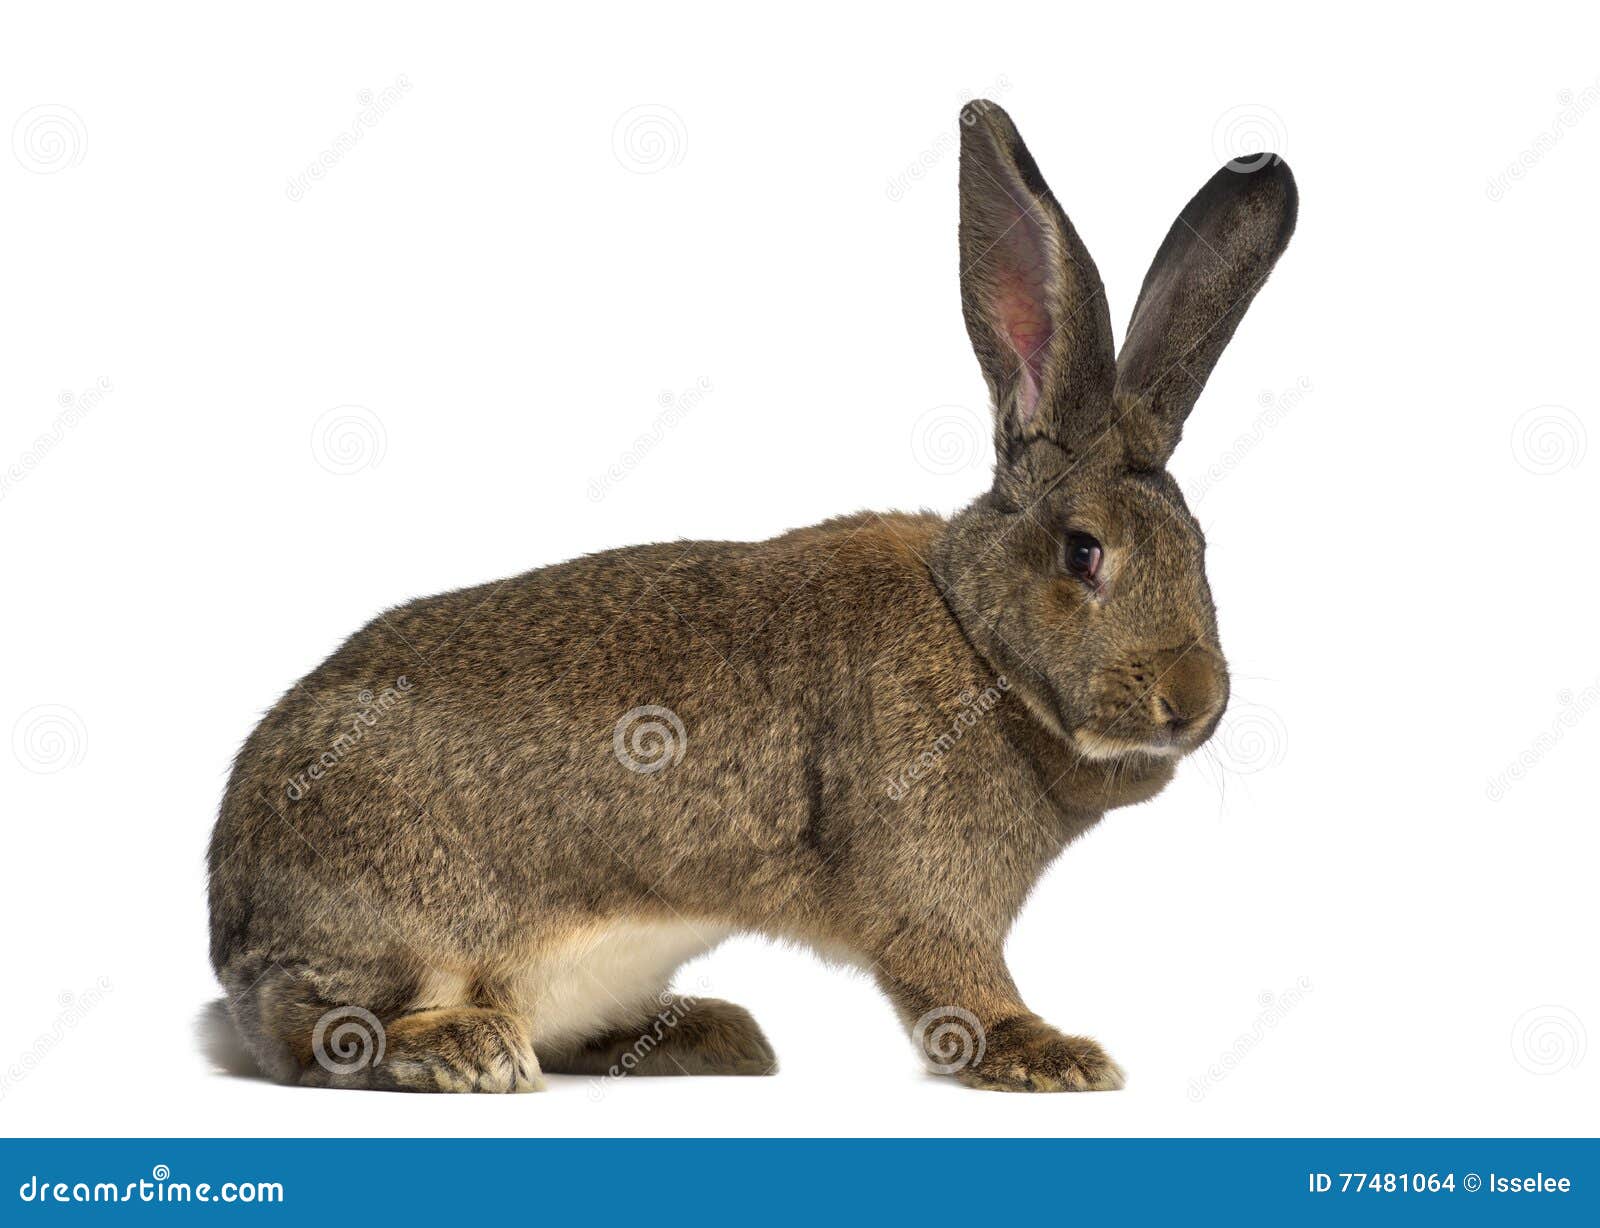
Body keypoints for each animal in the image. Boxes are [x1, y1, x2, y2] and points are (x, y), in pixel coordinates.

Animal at [207, 98, 1296, 1093]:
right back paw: (462, 1050)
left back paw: (707, 1033)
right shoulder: (925, 888)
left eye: (1200, 549)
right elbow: (955, 988)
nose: (1192, 701)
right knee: (312, 1035)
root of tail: (229, 919)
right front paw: (1051, 1055)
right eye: (1083, 553)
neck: (976, 641)